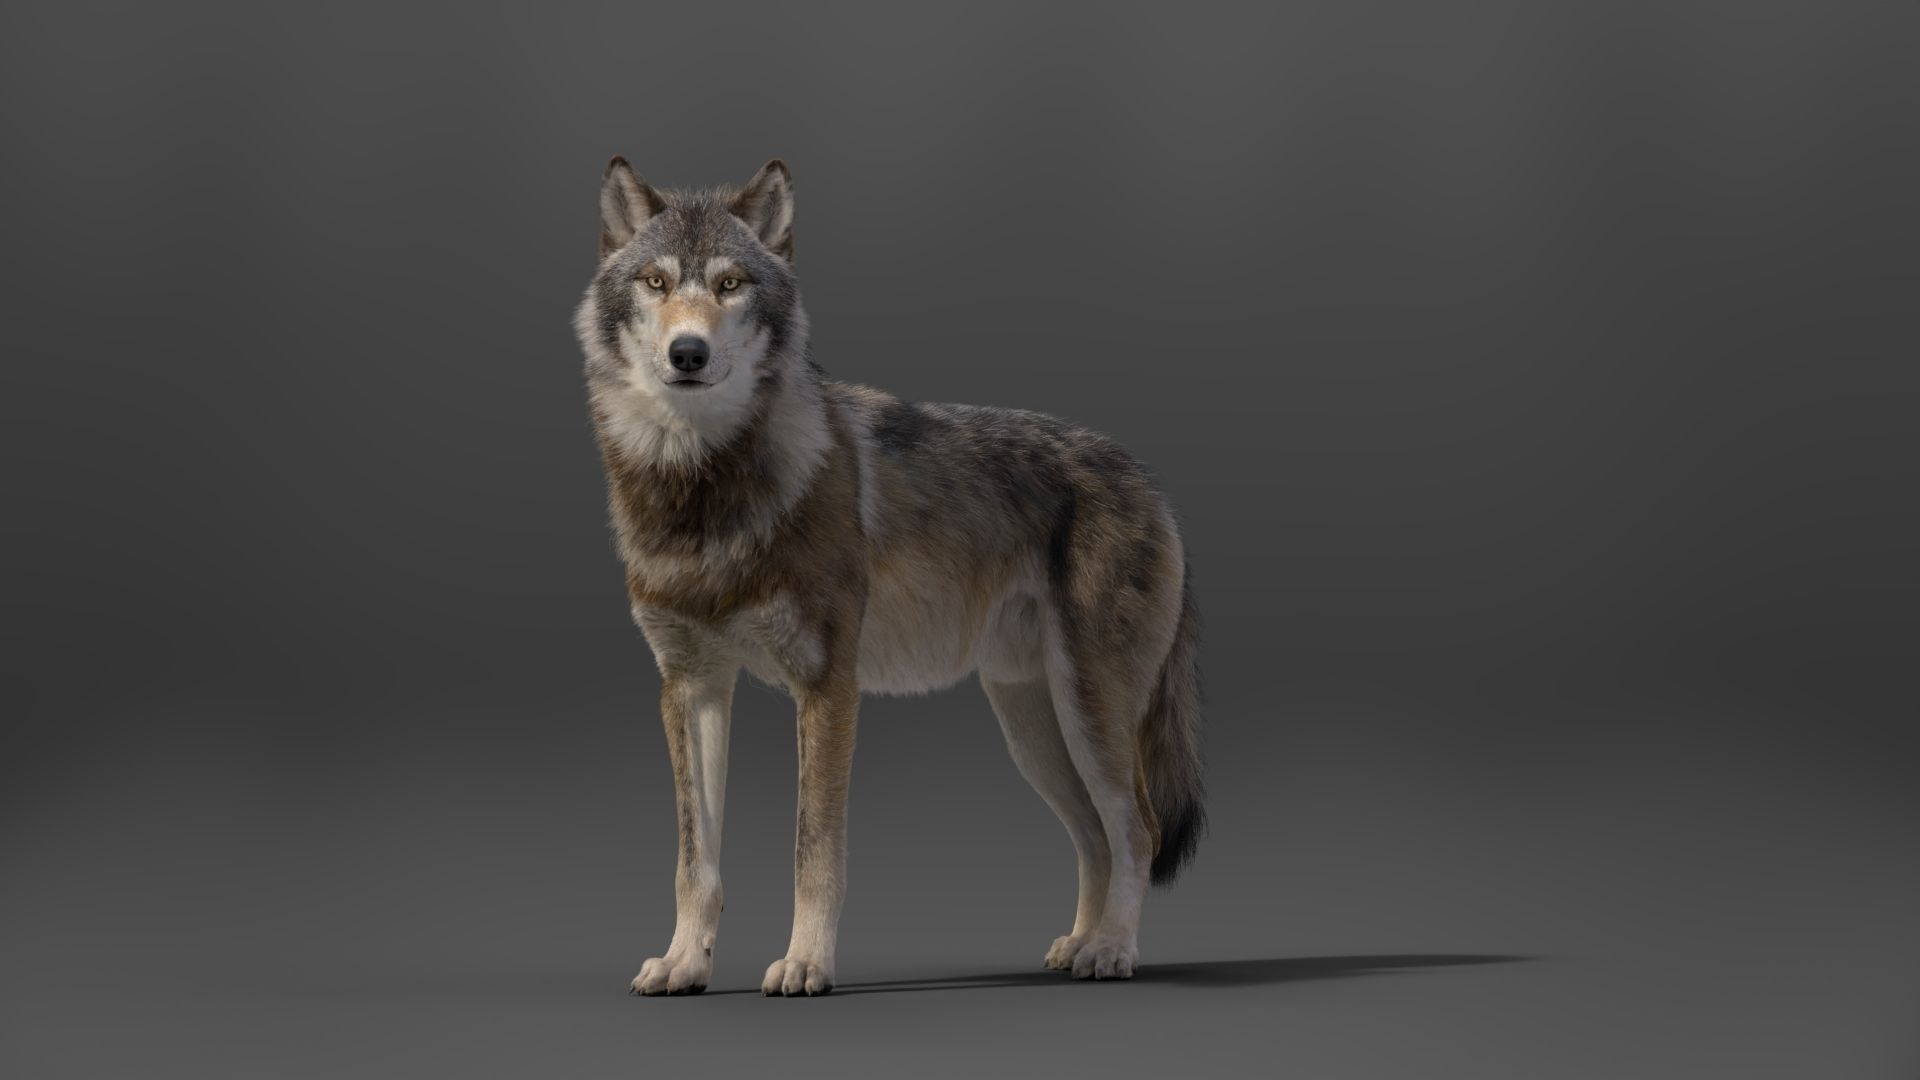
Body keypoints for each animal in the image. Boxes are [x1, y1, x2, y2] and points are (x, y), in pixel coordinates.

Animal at [576, 157, 1205, 996]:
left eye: (731, 284)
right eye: (655, 281)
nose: (688, 354)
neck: (701, 493)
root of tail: (1153, 484)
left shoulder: (827, 685)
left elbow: (814, 850)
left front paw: (806, 962)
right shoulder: (691, 687)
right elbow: (694, 860)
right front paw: (684, 963)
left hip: (1088, 716)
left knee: (1135, 827)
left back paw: (1113, 951)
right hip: (1033, 728)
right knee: (1095, 837)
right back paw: (1080, 944)